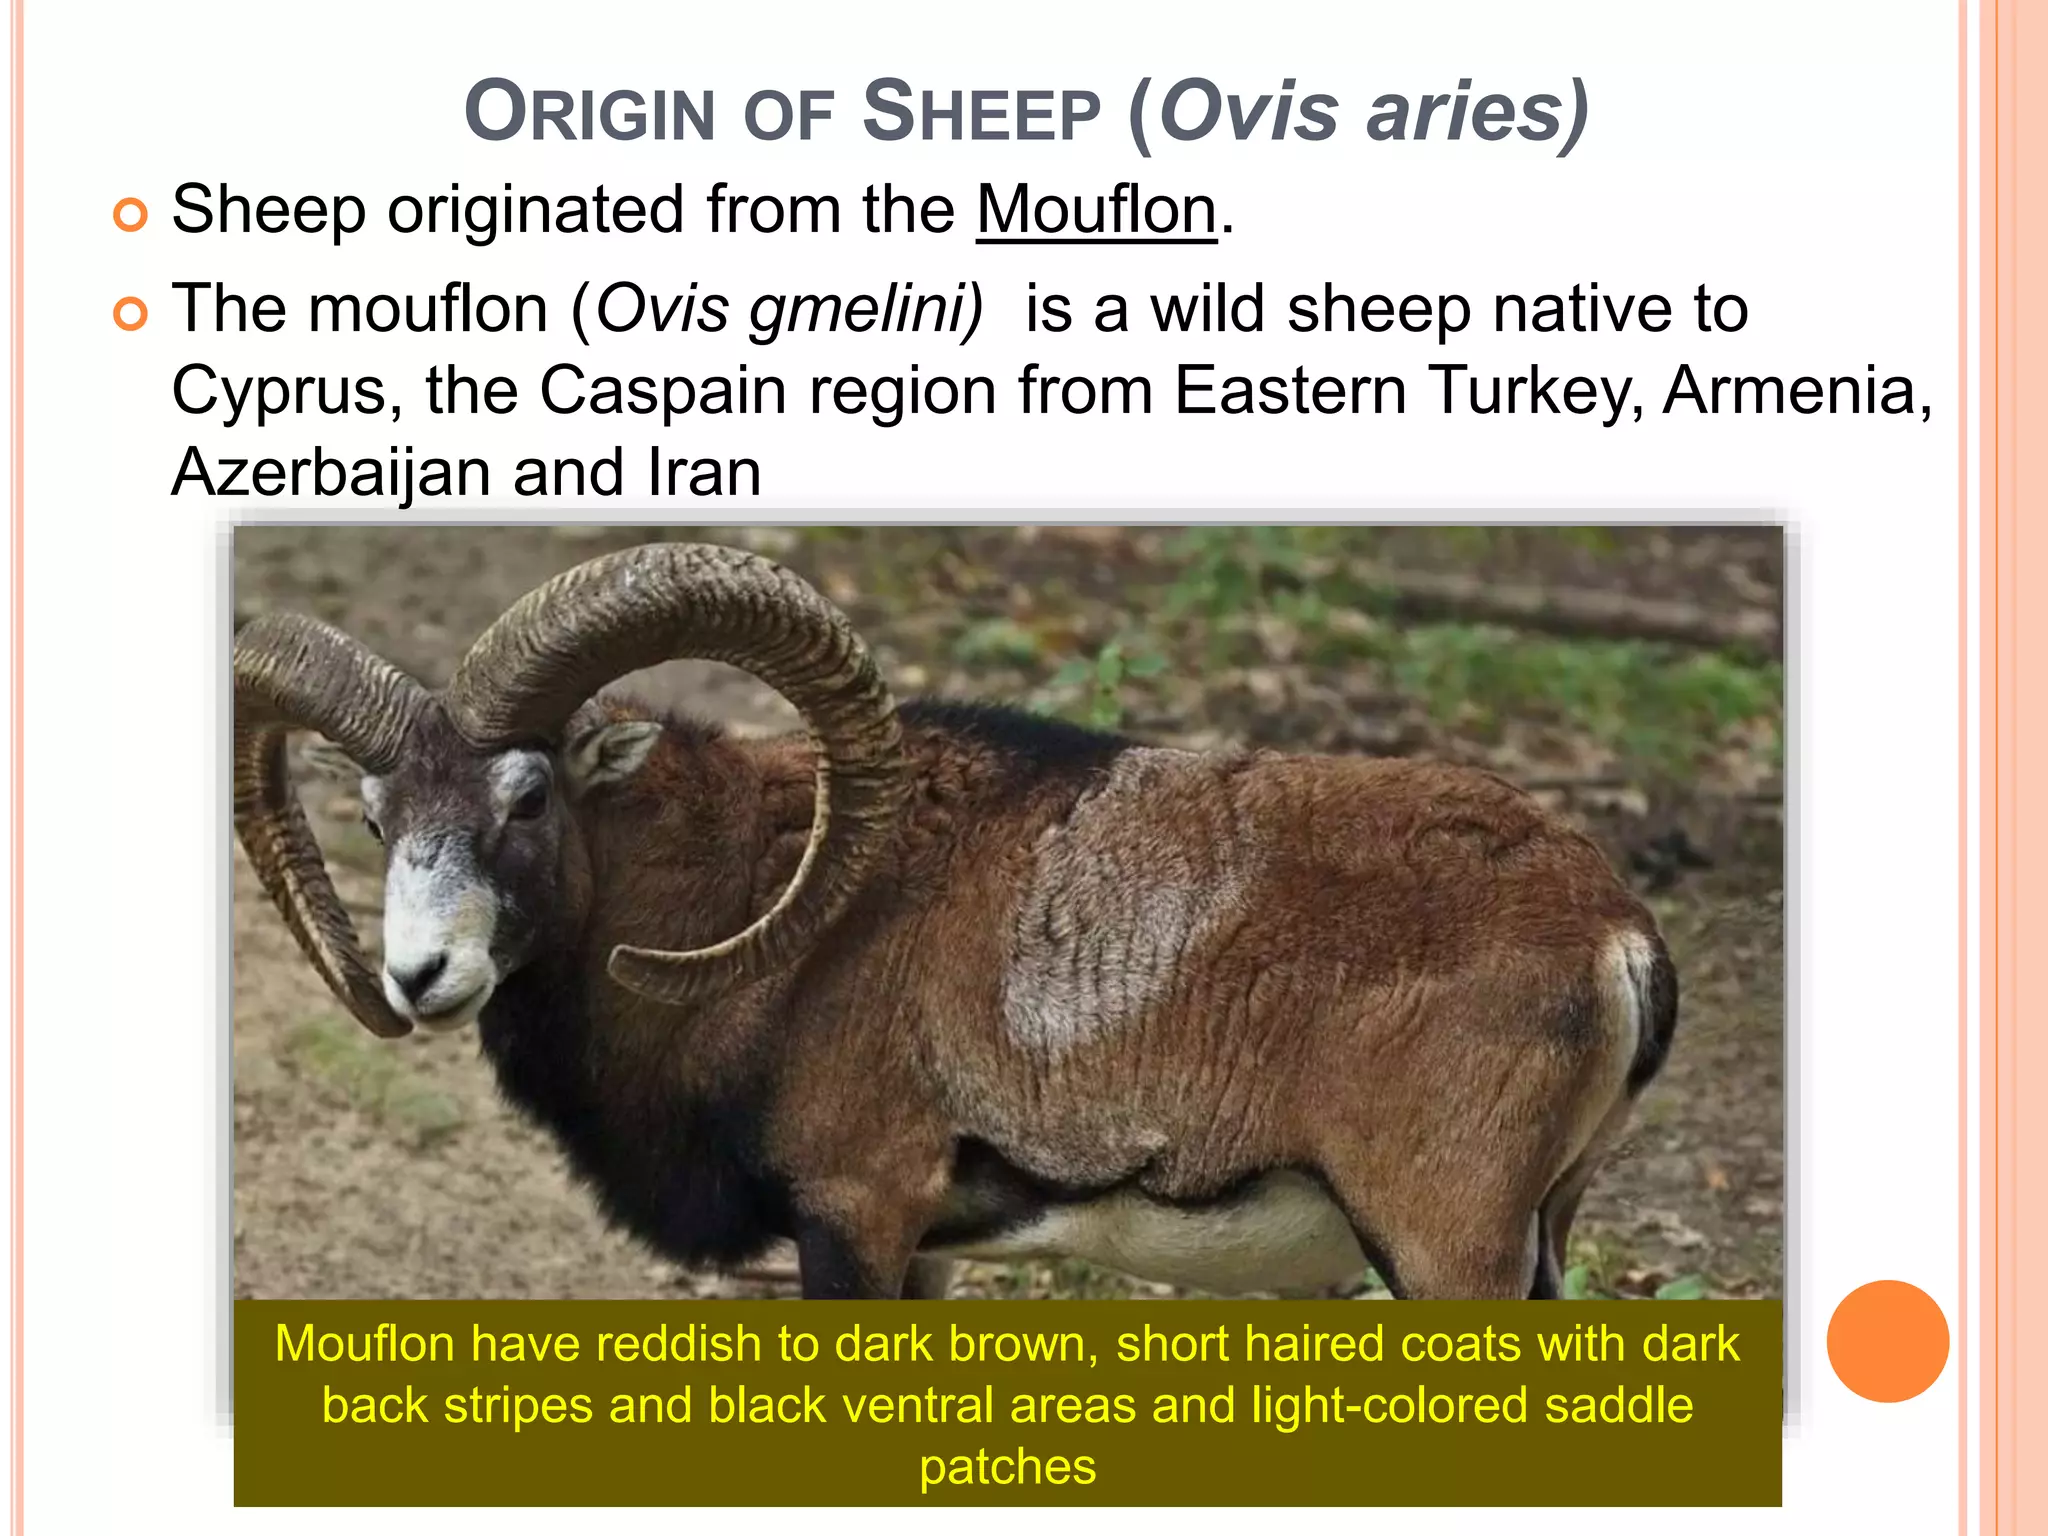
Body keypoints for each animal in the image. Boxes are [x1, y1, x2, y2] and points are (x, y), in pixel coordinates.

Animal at [234, 539, 1677, 1300]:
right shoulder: (925, 1249)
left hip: (1443, 1258)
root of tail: (1613, 936)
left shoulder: (856, 1220)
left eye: (527, 797)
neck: (778, 922)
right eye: (375, 816)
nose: (419, 977)